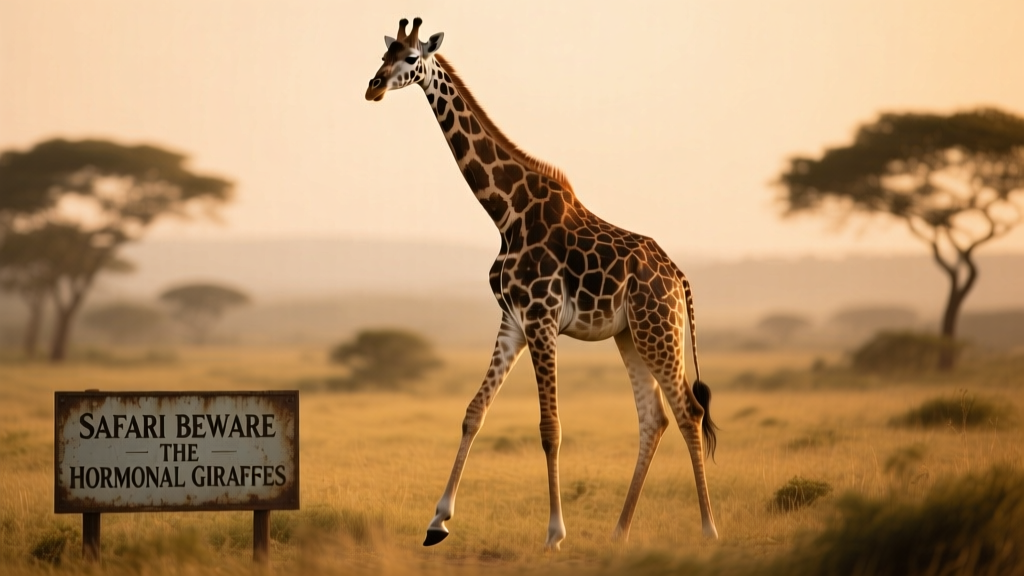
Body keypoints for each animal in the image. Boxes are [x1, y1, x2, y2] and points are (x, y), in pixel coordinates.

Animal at [364, 18, 718, 550]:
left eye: (411, 59)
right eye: (384, 55)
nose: (373, 87)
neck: (505, 211)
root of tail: (679, 278)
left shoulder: (541, 316)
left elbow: (549, 426)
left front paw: (554, 533)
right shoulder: (512, 319)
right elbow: (473, 412)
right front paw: (437, 522)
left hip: (657, 331)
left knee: (688, 411)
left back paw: (709, 530)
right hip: (630, 335)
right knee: (653, 418)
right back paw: (618, 533)